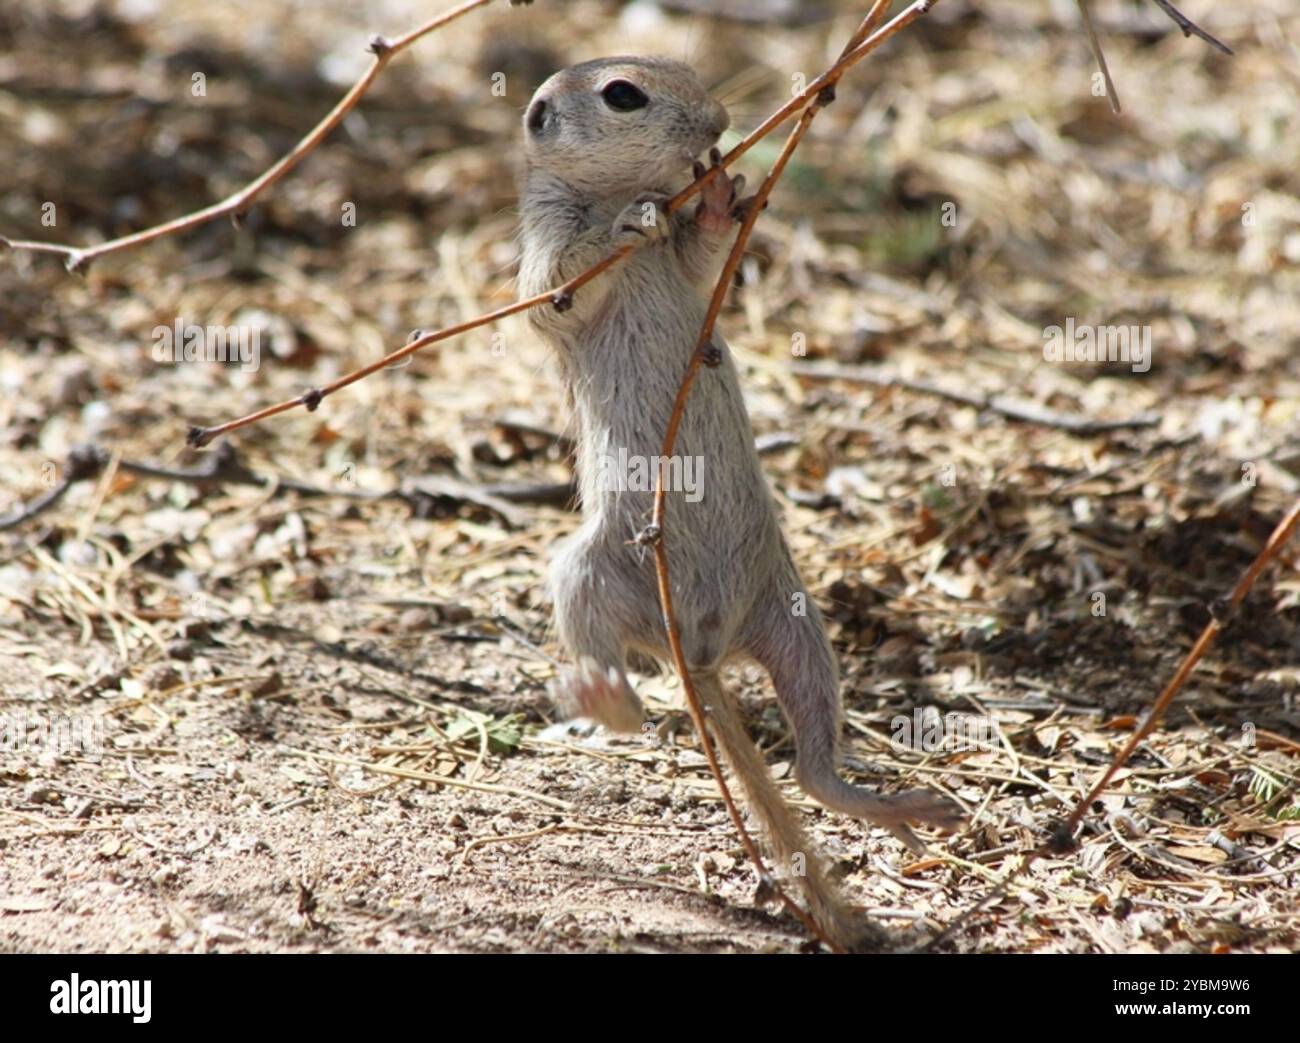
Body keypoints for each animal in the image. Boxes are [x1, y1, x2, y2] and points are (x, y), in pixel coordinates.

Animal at [516, 55, 964, 949]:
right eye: (623, 94)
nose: (720, 121)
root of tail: (699, 649)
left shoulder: (688, 264)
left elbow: (701, 255)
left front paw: (718, 196)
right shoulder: (546, 239)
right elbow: (558, 286)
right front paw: (629, 224)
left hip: (795, 622)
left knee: (813, 767)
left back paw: (910, 809)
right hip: (587, 569)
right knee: (623, 692)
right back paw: (598, 694)